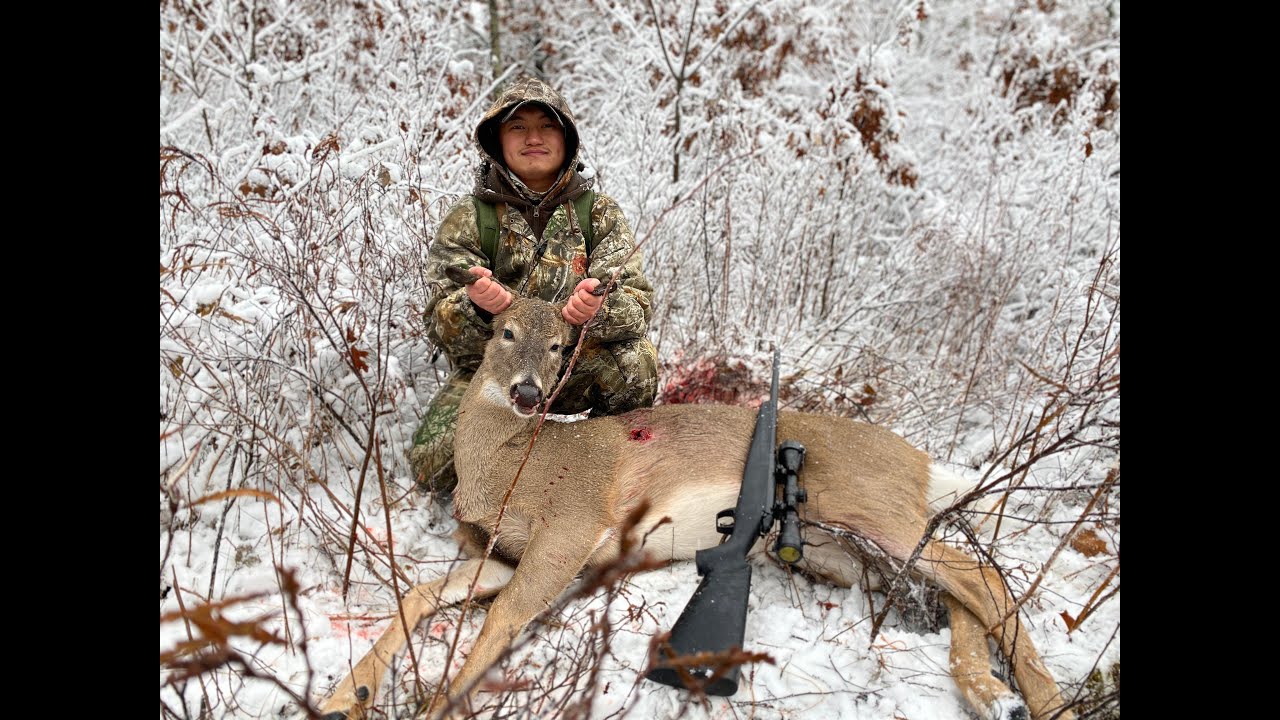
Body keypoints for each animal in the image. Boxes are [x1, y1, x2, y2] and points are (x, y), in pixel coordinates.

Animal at [319, 296, 1075, 720]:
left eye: (560, 345)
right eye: (503, 331)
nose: (529, 393)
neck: (507, 464)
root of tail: (921, 462)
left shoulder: (572, 527)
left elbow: (502, 620)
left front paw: (432, 704)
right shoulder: (503, 553)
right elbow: (418, 595)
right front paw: (342, 697)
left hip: (873, 506)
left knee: (978, 573)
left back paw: (1043, 701)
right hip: (831, 546)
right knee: (944, 588)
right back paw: (995, 694)